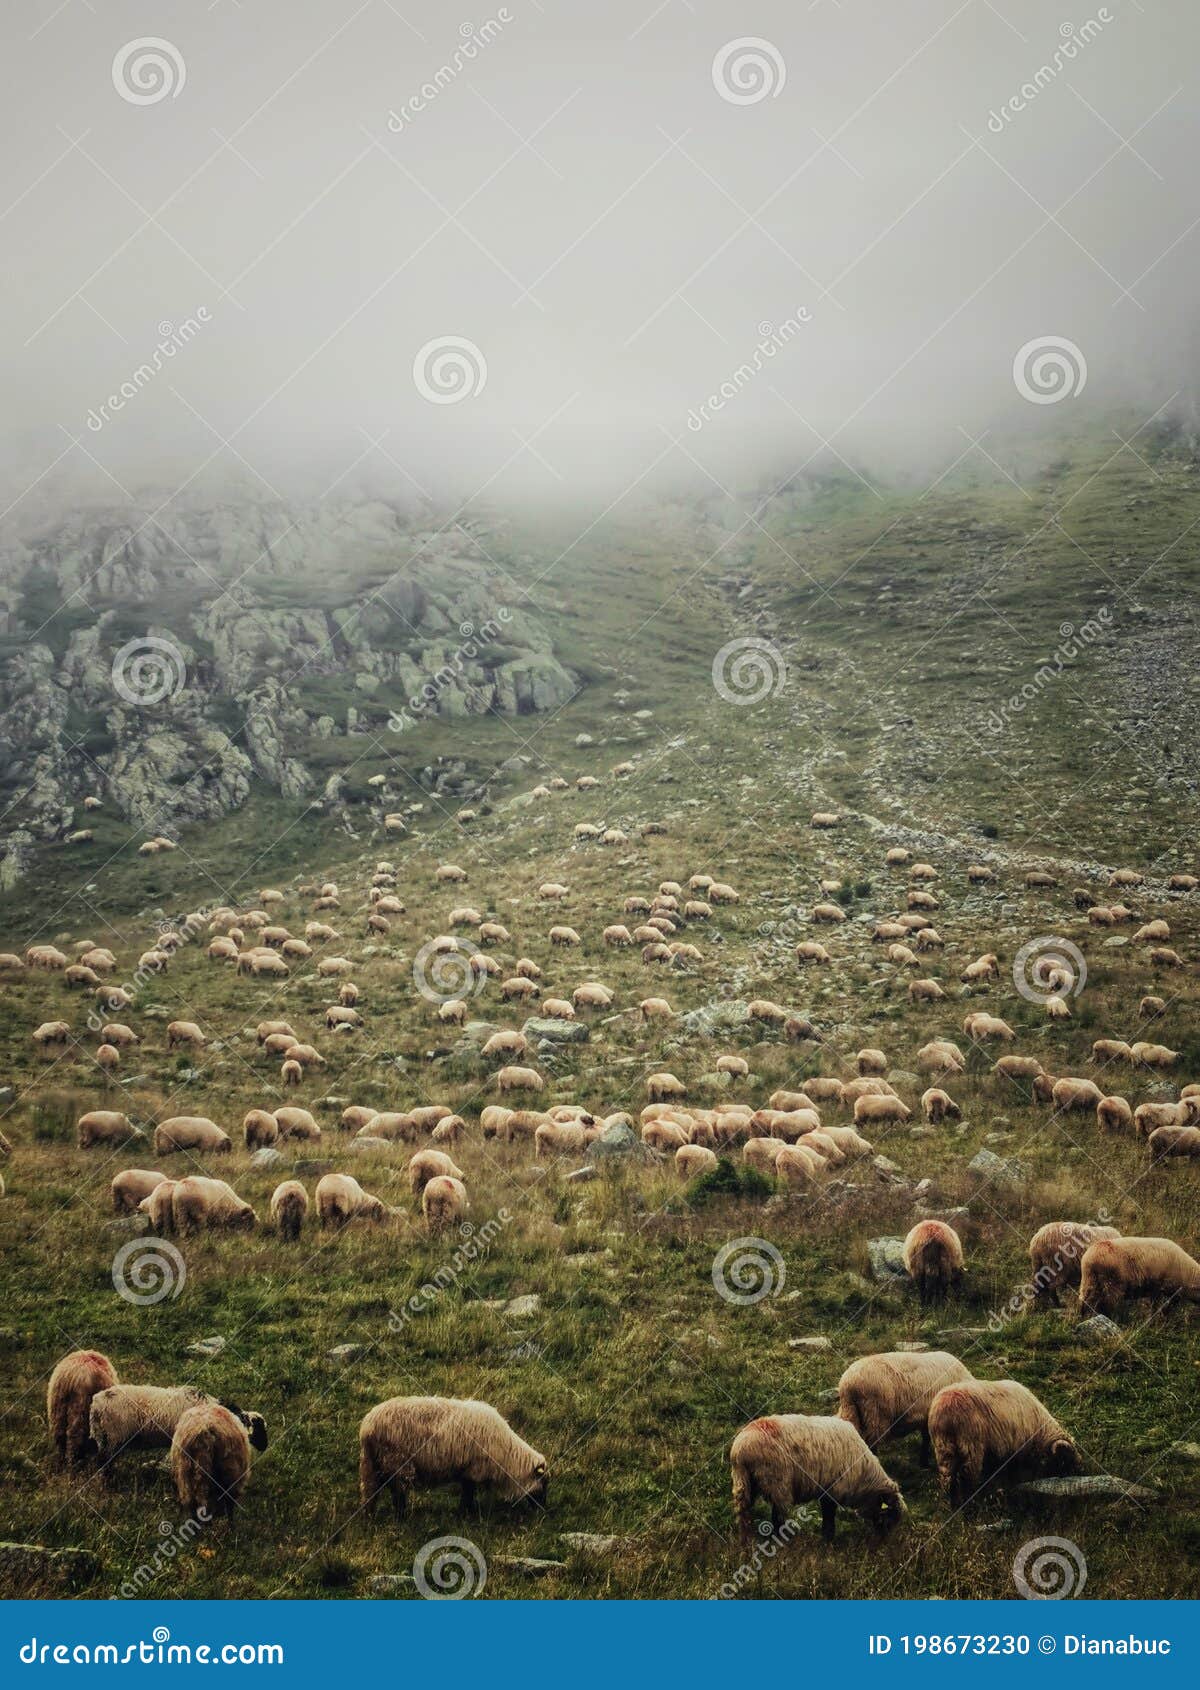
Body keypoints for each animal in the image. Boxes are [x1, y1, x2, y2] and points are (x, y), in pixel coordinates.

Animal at [359, 1395, 547, 1516]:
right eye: (544, 1483)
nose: (543, 1511)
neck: (508, 1456)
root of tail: (367, 1426)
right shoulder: (474, 1469)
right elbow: (468, 1493)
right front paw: (466, 1514)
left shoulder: (468, 1470)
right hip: (396, 1461)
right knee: (397, 1491)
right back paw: (401, 1516)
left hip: (373, 1463)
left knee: (371, 1491)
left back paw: (371, 1515)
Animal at [730, 1414, 904, 1547]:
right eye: (889, 1517)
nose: (882, 1544)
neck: (864, 1477)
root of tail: (741, 1448)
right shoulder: (832, 1489)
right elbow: (829, 1518)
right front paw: (827, 1542)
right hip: (777, 1483)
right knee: (778, 1517)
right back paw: (783, 1545)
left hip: (743, 1482)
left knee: (743, 1513)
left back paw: (745, 1543)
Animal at [838, 1351, 973, 1464]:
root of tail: (848, 1383)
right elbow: (927, 1438)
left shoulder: (925, 1415)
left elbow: (925, 1438)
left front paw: (923, 1462)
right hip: (875, 1414)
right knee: (870, 1442)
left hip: (850, 1410)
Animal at [928, 1380, 1078, 1506]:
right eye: (1064, 1460)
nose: (1076, 1472)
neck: (1040, 1430)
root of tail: (946, 1408)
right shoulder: (1015, 1449)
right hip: (971, 1445)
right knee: (967, 1478)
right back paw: (971, 1506)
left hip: (943, 1447)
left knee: (948, 1479)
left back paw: (953, 1505)